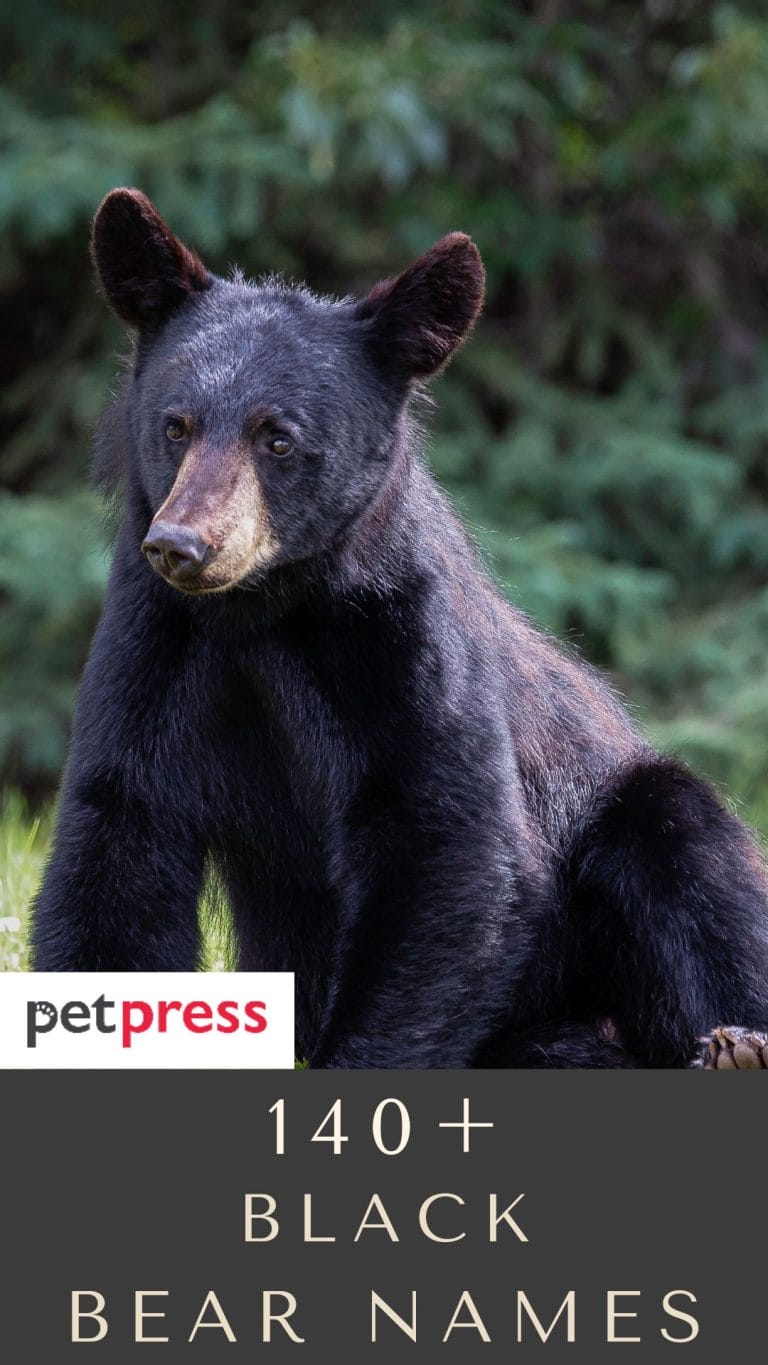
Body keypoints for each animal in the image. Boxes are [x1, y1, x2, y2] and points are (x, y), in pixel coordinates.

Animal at [31, 186, 768, 1069]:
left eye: (279, 438)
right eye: (175, 425)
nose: (181, 544)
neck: (265, 613)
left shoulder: (404, 644)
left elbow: (445, 845)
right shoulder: (154, 643)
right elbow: (120, 842)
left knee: (685, 851)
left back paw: (734, 1044)